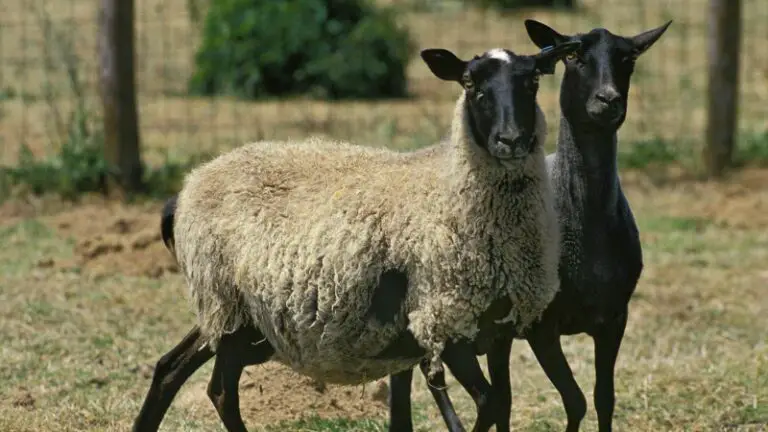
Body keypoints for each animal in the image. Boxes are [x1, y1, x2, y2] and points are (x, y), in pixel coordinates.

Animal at [131, 40, 582, 432]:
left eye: (533, 80)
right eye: (470, 84)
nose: (511, 140)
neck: (449, 184)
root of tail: (185, 189)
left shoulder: (501, 325)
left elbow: (502, 403)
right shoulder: (445, 318)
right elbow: (490, 403)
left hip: (233, 314)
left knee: (170, 368)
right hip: (226, 303)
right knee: (221, 391)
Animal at [387, 20, 672, 432]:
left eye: (628, 58)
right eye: (574, 56)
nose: (608, 100)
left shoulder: (614, 319)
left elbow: (603, 399)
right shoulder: (540, 326)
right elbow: (572, 400)